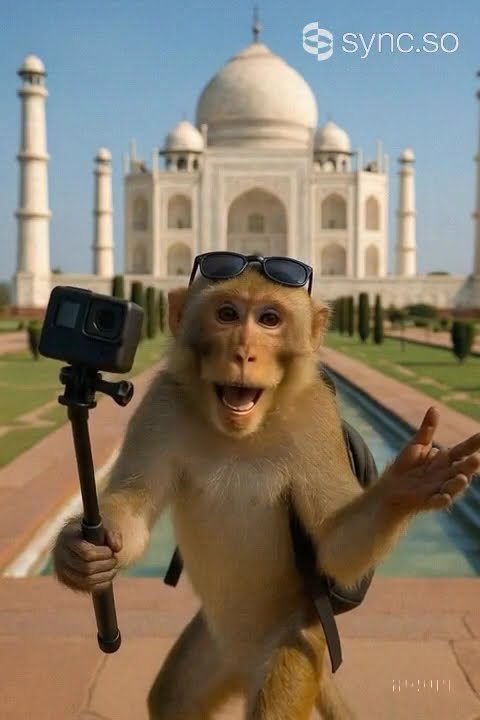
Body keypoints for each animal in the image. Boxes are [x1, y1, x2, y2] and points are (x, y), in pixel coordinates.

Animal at [52, 265, 480, 720]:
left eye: (269, 320)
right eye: (227, 314)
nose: (243, 352)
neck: (242, 433)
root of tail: (240, 665)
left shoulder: (316, 416)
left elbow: (335, 547)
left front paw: (407, 487)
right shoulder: (161, 404)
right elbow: (133, 512)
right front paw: (80, 553)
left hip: (297, 638)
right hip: (213, 644)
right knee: (173, 699)